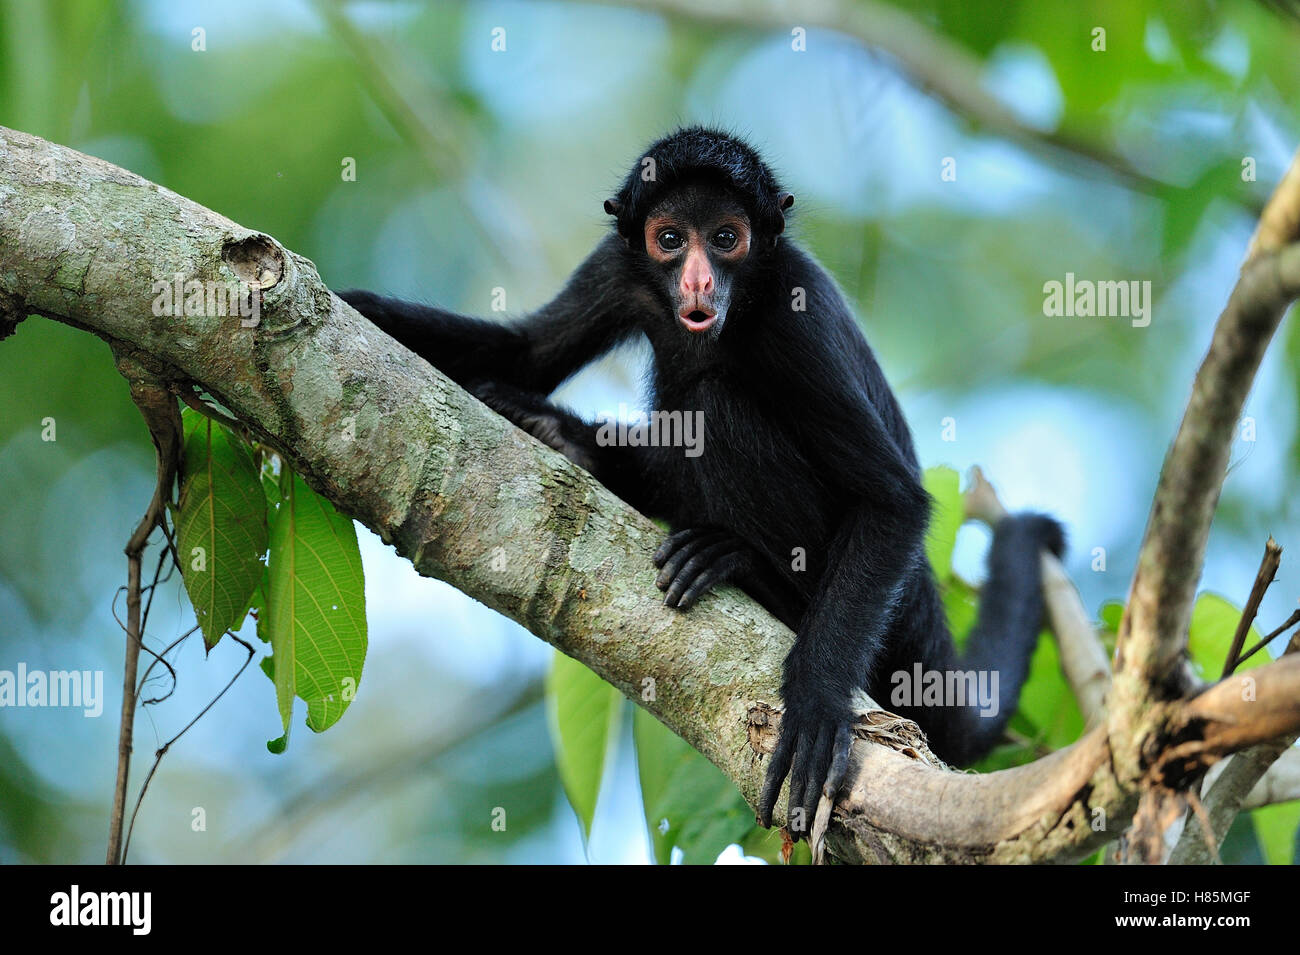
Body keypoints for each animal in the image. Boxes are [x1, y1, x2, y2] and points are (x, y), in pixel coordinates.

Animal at [337, 127, 1064, 838]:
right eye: (669, 240)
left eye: (724, 238)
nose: (696, 277)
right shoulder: (615, 266)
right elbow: (522, 352)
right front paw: (346, 302)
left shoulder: (795, 312)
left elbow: (892, 500)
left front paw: (815, 700)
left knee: (715, 402)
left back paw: (745, 565)